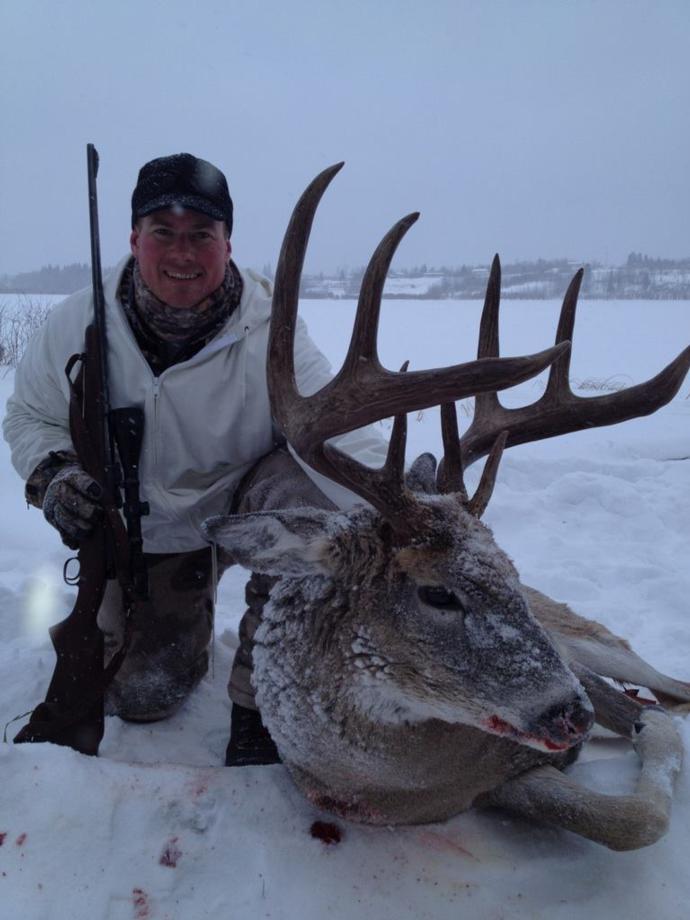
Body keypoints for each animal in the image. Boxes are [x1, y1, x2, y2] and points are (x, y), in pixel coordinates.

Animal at [205, 164, 690, 851]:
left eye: (512, 572)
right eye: (437, 592)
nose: (574, 715)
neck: (397, 786)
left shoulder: (566, 683)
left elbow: (635, 811)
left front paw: (647, 731)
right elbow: (626, 818)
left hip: (591, 639)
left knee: (670, 683)